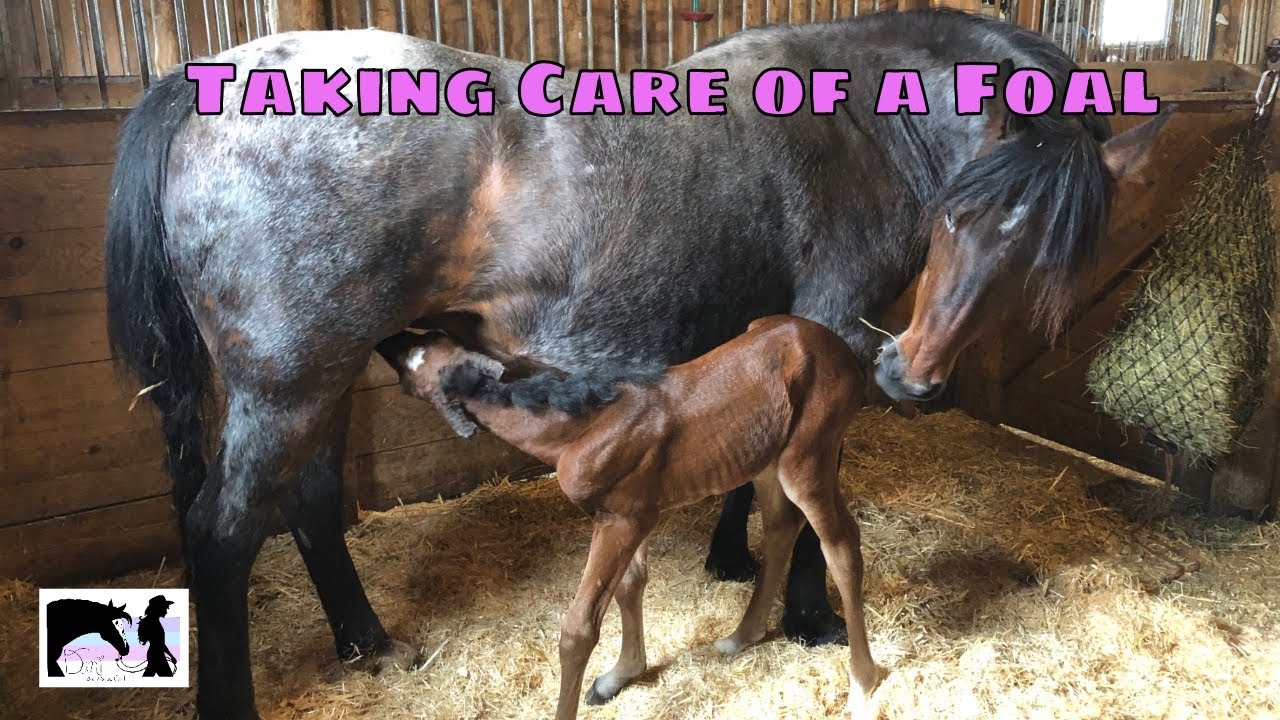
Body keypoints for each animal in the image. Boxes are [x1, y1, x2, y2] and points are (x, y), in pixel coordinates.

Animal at [376, 314, 876, 719]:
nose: (386, 339)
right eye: (428, 336)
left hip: (807, 458)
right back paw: (741, 637)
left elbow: (578, 628)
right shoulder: (631, 516)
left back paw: (863, 682)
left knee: (841, 544)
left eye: (413, 363)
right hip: (767, 461)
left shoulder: (621, 521)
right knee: (780, 528)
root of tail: (842, 349)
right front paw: (621, 676)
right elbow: (630, 586)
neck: (581, 428)